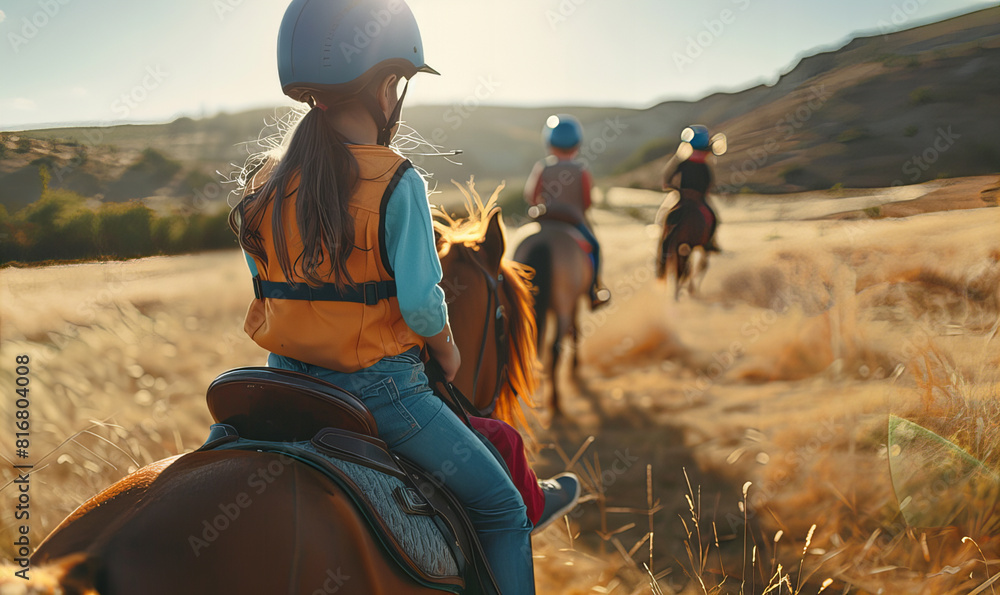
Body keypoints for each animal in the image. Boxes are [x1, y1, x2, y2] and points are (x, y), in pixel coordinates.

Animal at [512, 217, 594, 417]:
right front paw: (575, 365)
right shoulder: (573, 303)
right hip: (562, 307)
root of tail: (544, 240)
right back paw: (555, 401)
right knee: (555, 348)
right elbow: (575, 330)